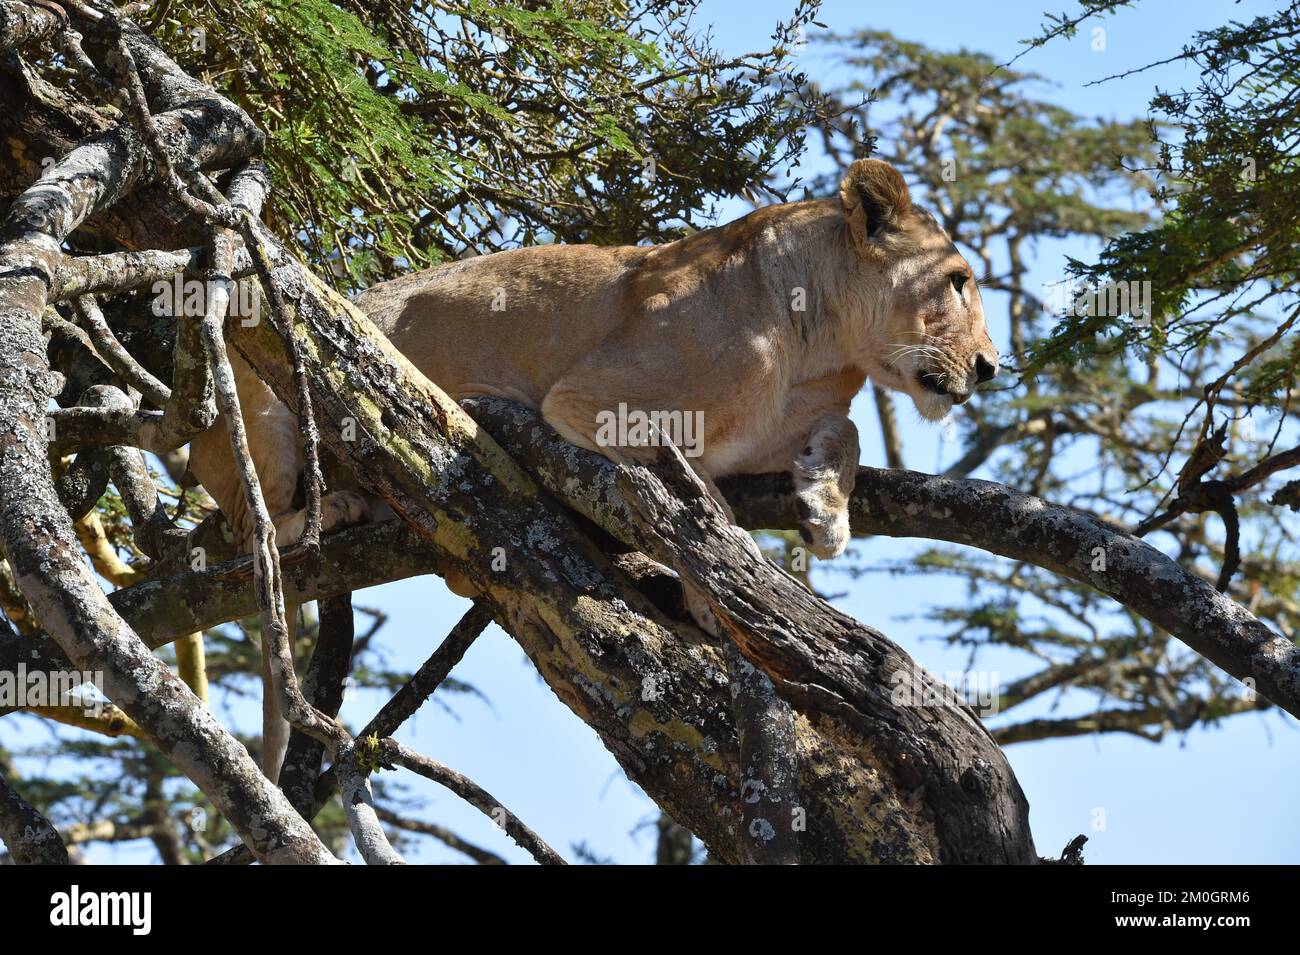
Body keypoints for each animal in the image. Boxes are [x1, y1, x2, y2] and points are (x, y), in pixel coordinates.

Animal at [187, 158, 999, 777]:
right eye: (958, 279)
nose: (991, 367)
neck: (820, 342)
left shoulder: (793, 417)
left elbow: (848, 431)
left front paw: (825, 508)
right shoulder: (586, 404)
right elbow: (703, 505)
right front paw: (719, 591)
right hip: (260, 394)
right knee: (249, 528)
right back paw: (332, 509)